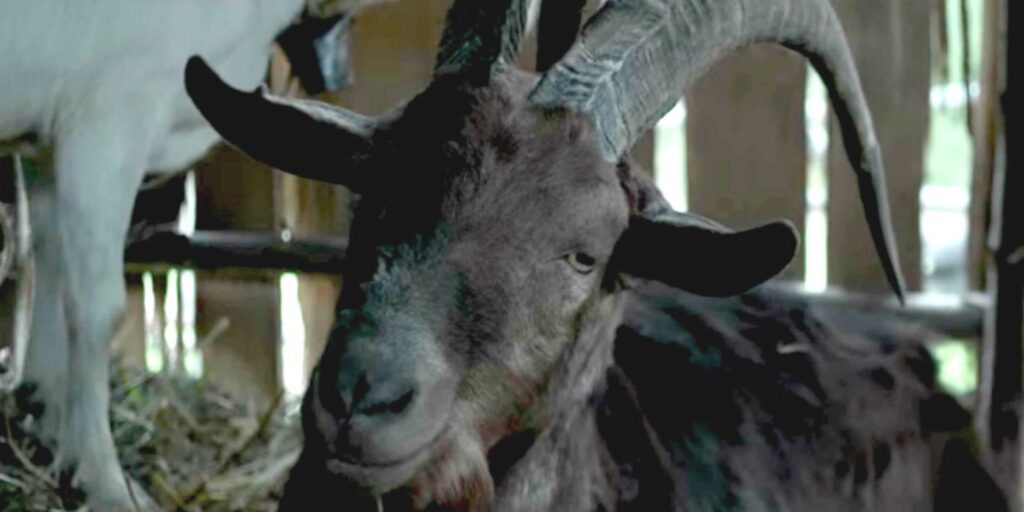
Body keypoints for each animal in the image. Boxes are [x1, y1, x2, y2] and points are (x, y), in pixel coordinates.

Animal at [0, 1, 364, 508]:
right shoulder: (109, 113)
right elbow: (96, 311)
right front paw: (104, 480)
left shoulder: (50, 139)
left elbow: (52, 260)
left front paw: (50, 421)